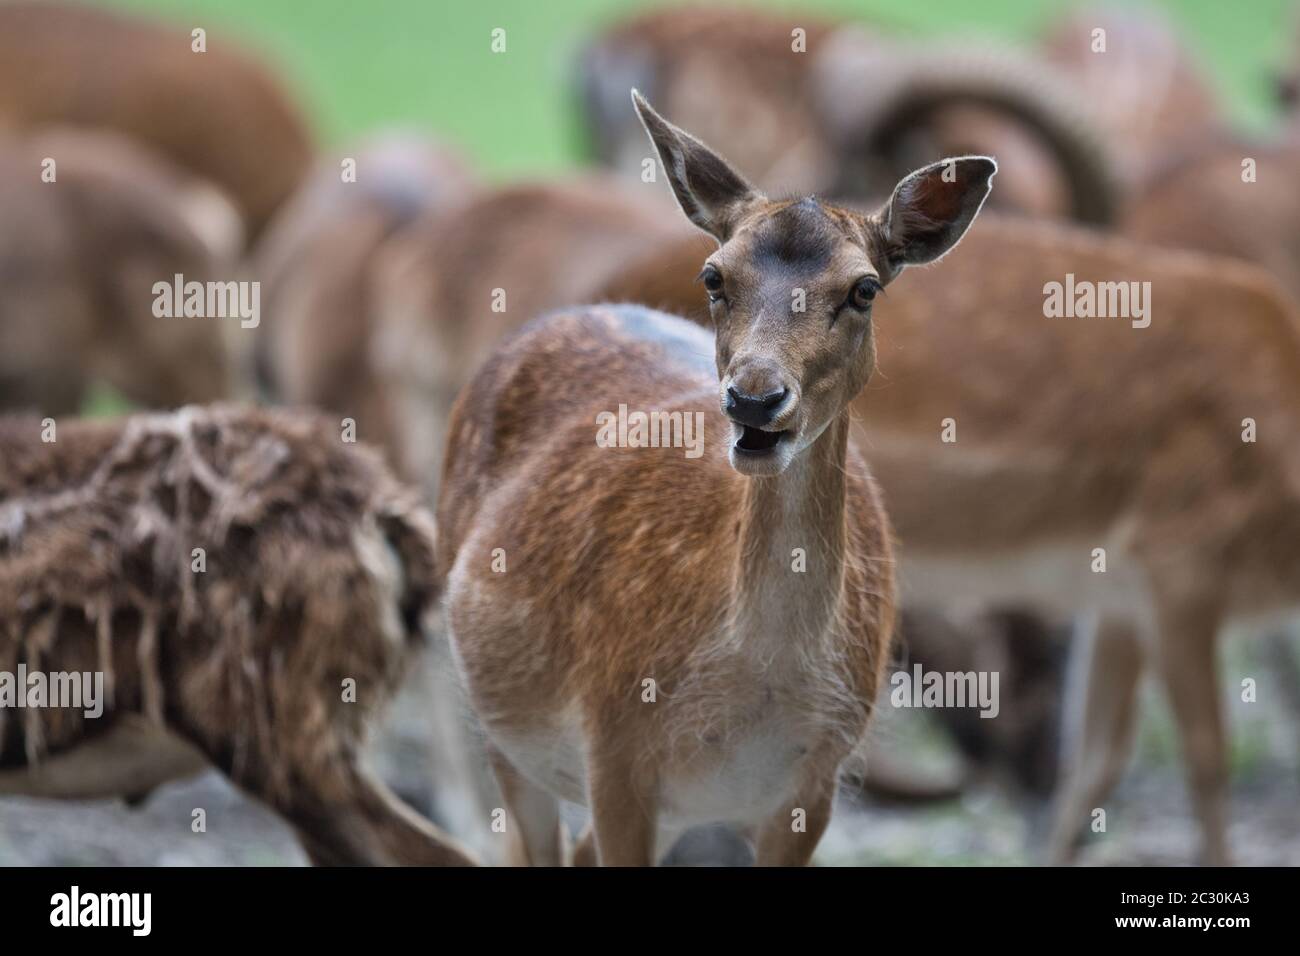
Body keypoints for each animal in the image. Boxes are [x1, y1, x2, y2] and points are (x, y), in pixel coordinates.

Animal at [434, 91, 996, 865]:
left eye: (864, 288)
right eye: (714, 277)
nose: (755, 398)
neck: (754, 690)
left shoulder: (815, 781)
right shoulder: (613, 747)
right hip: (500, 726)